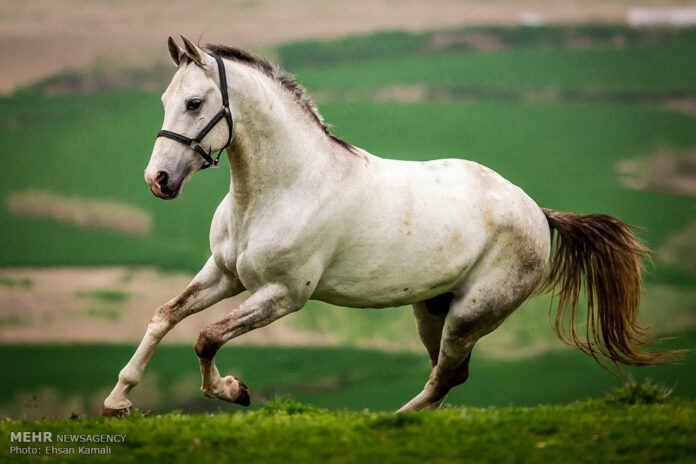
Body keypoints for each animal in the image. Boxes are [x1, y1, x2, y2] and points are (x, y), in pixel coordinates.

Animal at [101, 36, 675, 416]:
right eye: (165, 100)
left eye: (195, 102)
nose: (158, 180)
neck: (280, 189)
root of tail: (538, 213)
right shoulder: (225, 274)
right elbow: (165, 316)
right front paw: (117, 401)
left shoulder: (283, 295)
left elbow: (206, 337)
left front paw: (234, 391)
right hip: (432, 311)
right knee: (450, 377)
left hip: (471, 315)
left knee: (443, 378)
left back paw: (389, 424)